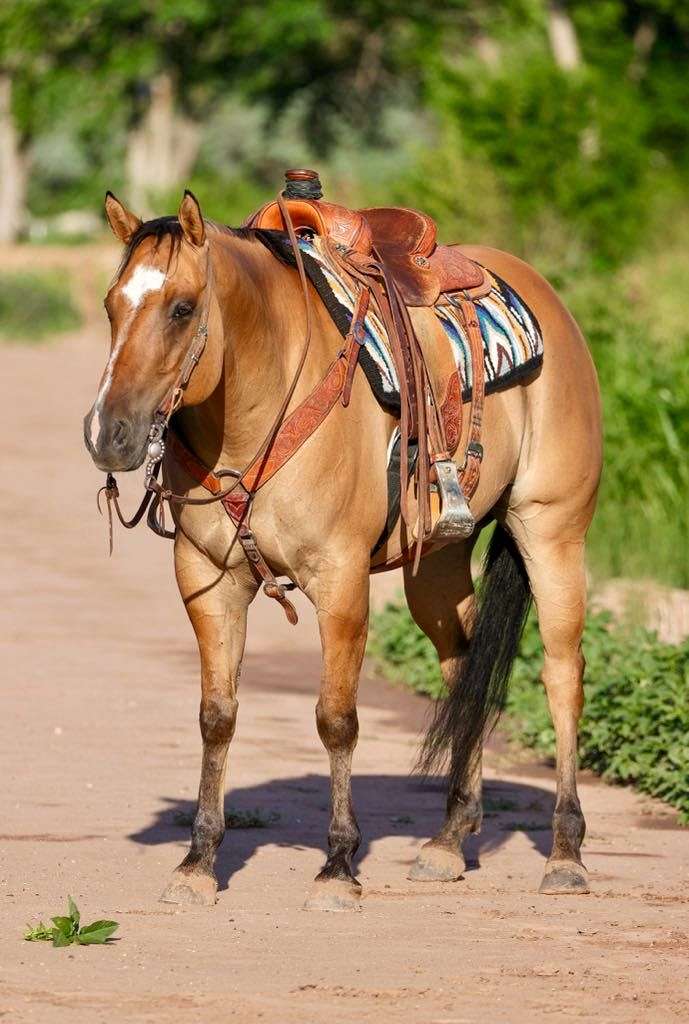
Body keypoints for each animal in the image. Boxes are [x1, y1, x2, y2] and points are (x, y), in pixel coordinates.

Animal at [84, 189, 602, 910]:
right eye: (112, 305)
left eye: (182, 308)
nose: (109, 435)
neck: (265, 402)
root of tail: (547, 299)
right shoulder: (208, 580)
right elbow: (217, 716)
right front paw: (197, 862)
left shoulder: (340, 581)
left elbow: (335, 720)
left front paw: (336, 866)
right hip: (438, 565)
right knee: (462, 671)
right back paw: (448, 841)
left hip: (552, 532)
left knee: (561, 675)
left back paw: (565, 853)